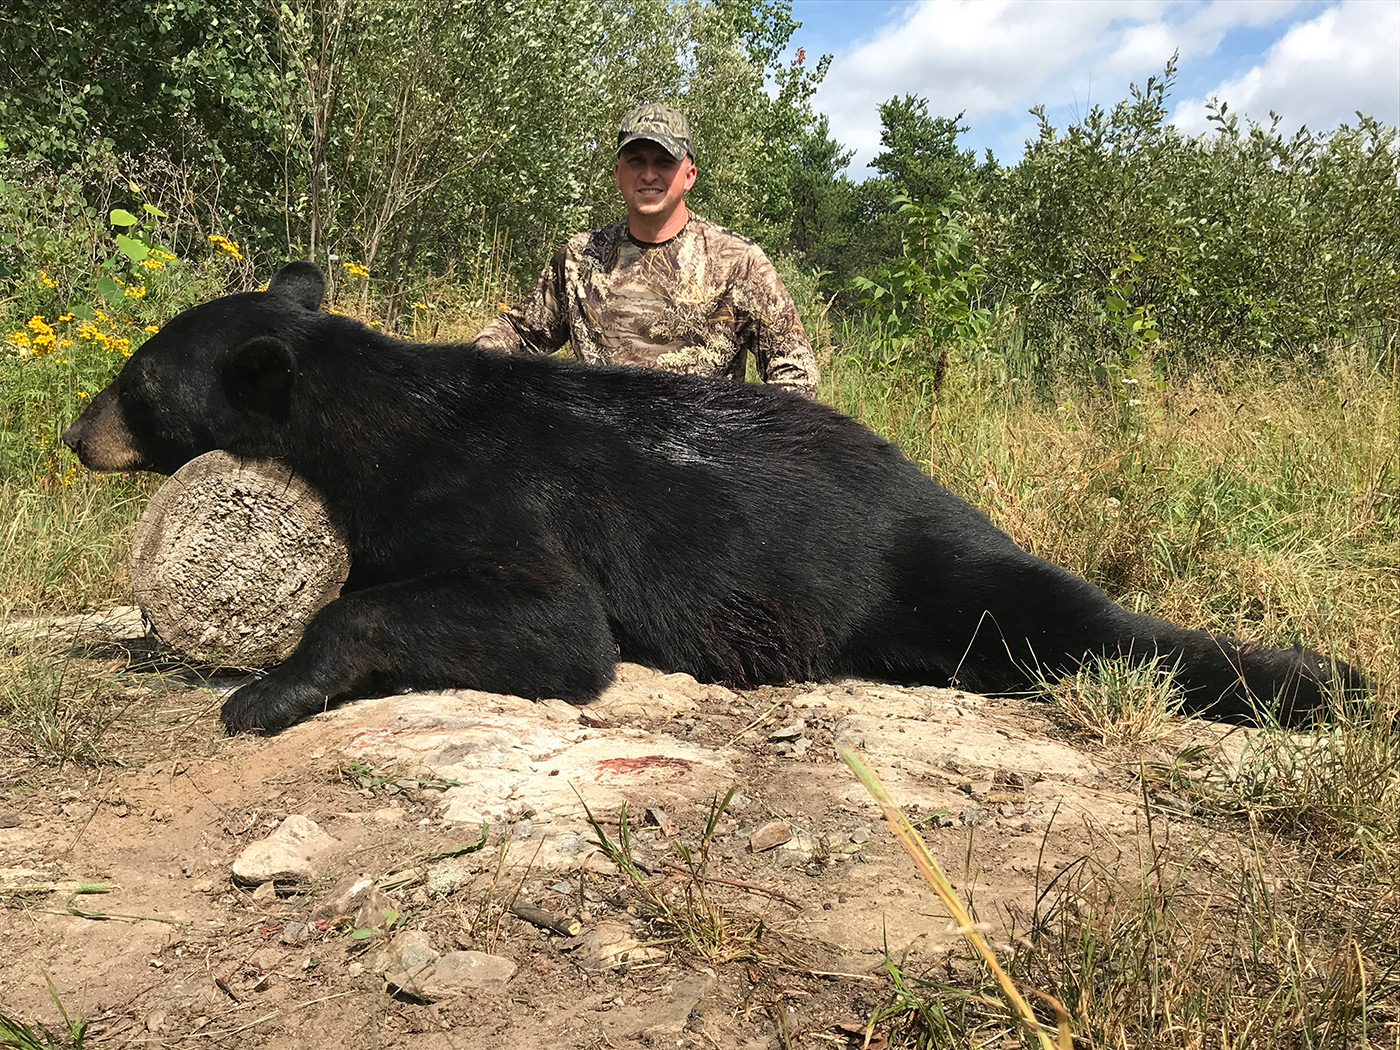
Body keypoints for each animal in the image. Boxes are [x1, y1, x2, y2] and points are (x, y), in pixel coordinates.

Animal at [62, 262, 1368, 734]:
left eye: (136, 379)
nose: (76, 432)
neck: (370, 420)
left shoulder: (491, 490)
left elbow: (554, 625)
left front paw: (264, 692)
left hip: (919, 567)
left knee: (1077, 625)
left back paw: (1324, 681)